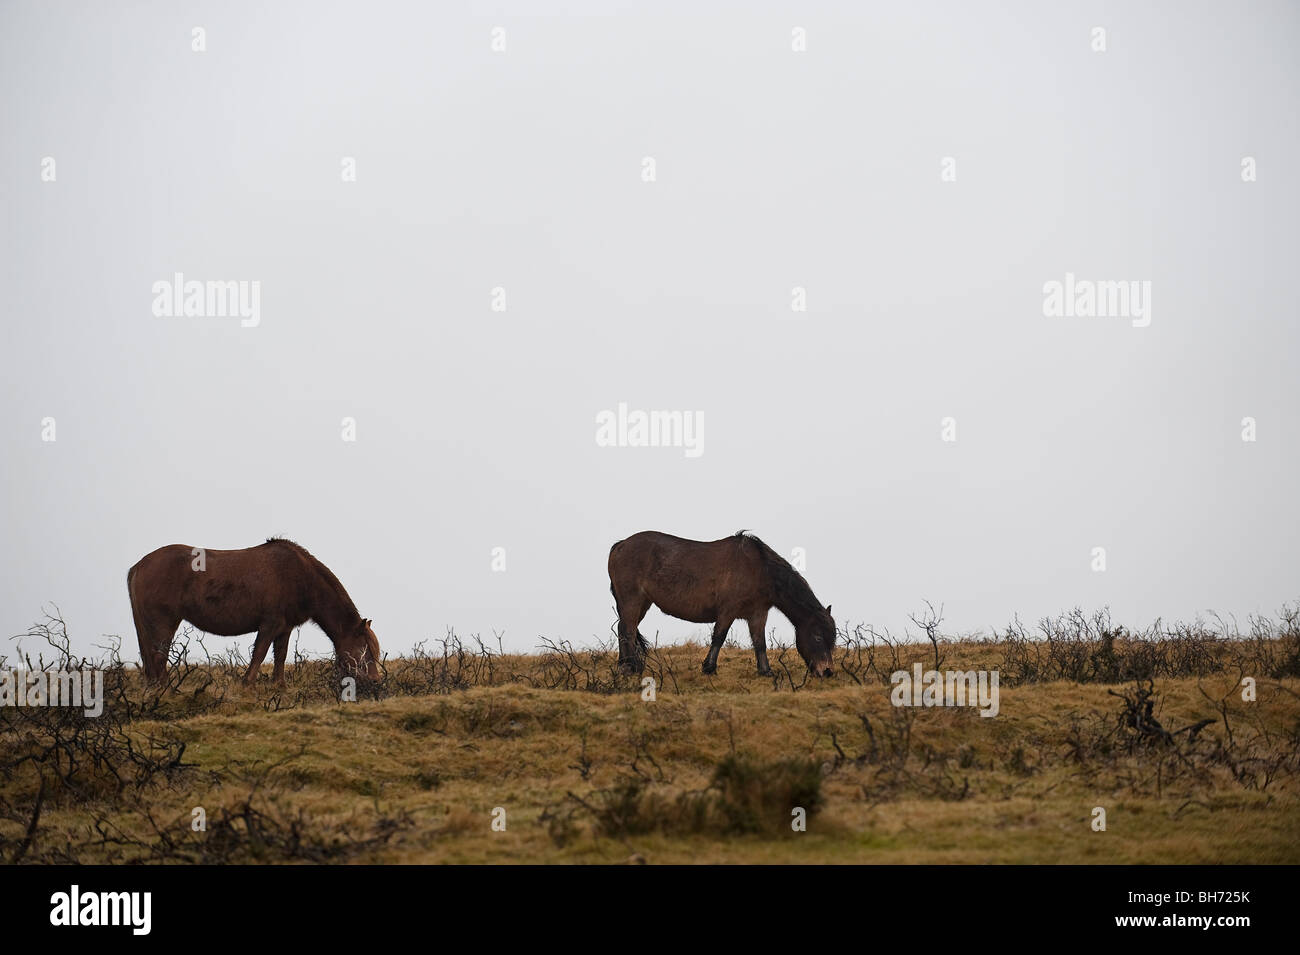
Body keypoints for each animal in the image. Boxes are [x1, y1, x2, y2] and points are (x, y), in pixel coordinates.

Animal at [127, 538, 381, 686]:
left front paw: (279, 687)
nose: (375, 683)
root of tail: (138, 566)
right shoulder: (269, 624)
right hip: (164, 623)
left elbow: (280, 656)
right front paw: (247, 684)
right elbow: (259, 654)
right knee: (158, 658)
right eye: (365, 650)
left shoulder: (285, 628)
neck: (300, 578)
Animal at [607, 530, 837, 678]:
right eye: (817, 637)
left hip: (642, 603)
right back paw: (631, 667)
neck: (759, 570)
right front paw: (709, 668)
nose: (826, 671)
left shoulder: (758, 613)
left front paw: (766, 671)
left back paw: (624, 666)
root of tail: (620, 545)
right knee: (628, 630)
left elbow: (760, 643)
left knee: (623, 629)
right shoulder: (728, 611)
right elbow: (719, 637)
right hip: (632, 600)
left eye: (832, 639)